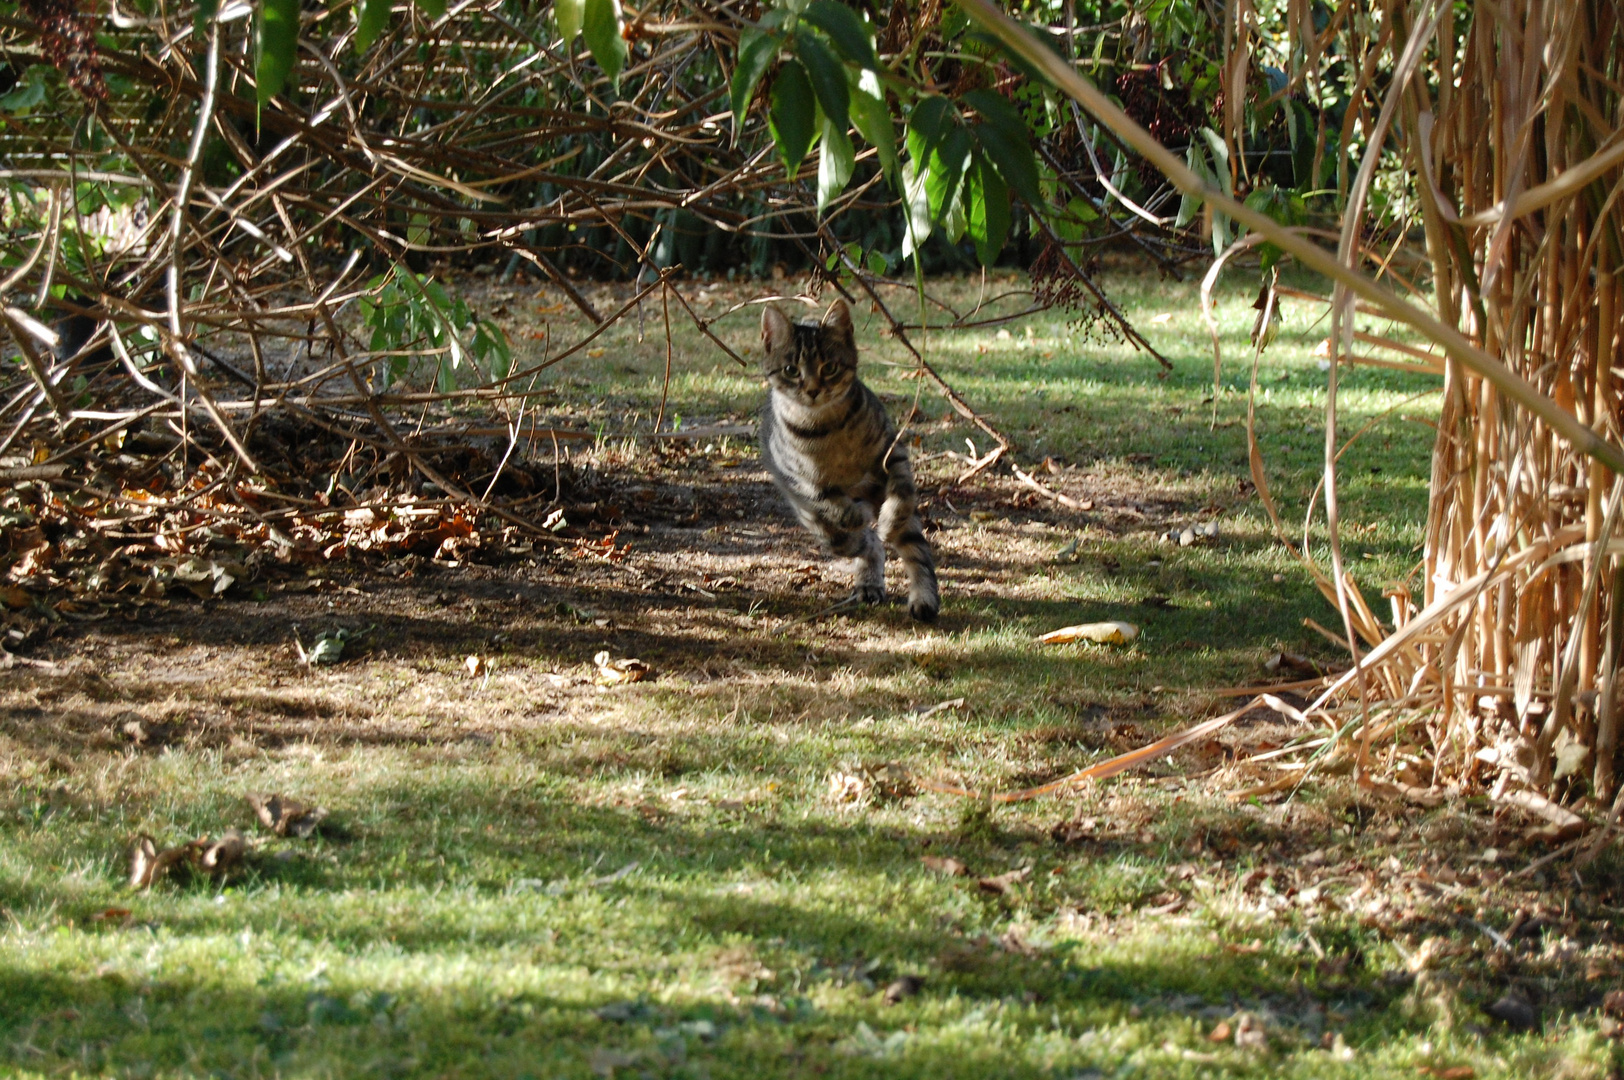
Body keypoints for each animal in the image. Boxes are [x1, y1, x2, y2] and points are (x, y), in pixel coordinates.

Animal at [760, 300, 941, 623]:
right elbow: (833, 503)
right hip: (819, 526)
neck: (827, 428)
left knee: (915, 550)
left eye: (829, 367)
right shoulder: (803, 481)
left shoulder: (892, 452)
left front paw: (888, 520)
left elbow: (901, 494)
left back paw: (924, 598)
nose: (813, 390)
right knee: (861, 544)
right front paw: (854, 514)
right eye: (791, 370)